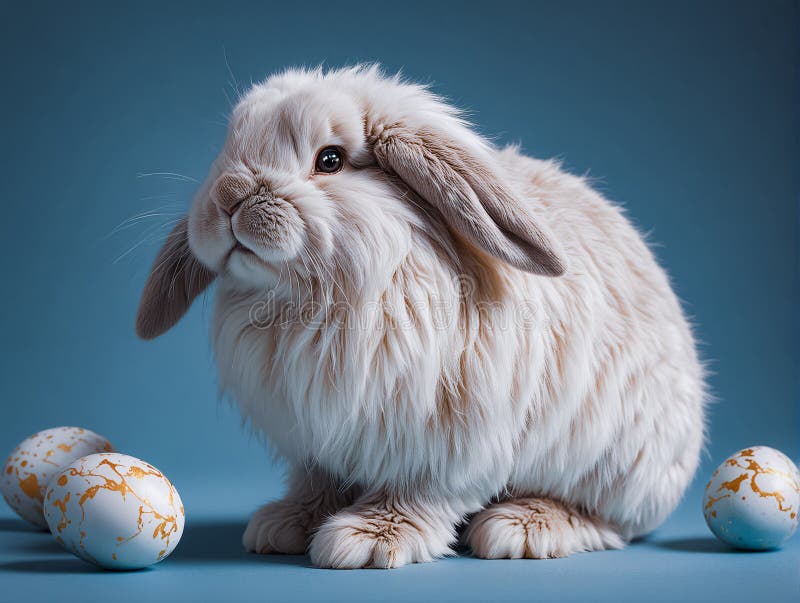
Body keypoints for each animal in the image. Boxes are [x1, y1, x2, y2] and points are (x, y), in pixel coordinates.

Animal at [136, 65, 706, 568]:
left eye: (330, 159)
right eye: (227, 149)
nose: (227, 196)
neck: (314, 295)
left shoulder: (444, 444)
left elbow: (417, 492)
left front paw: (369, 539)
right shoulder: (316, 445)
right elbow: (316, 484)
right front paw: (287, 524)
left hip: (614, 463)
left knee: (608, 521)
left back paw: (523, 525)